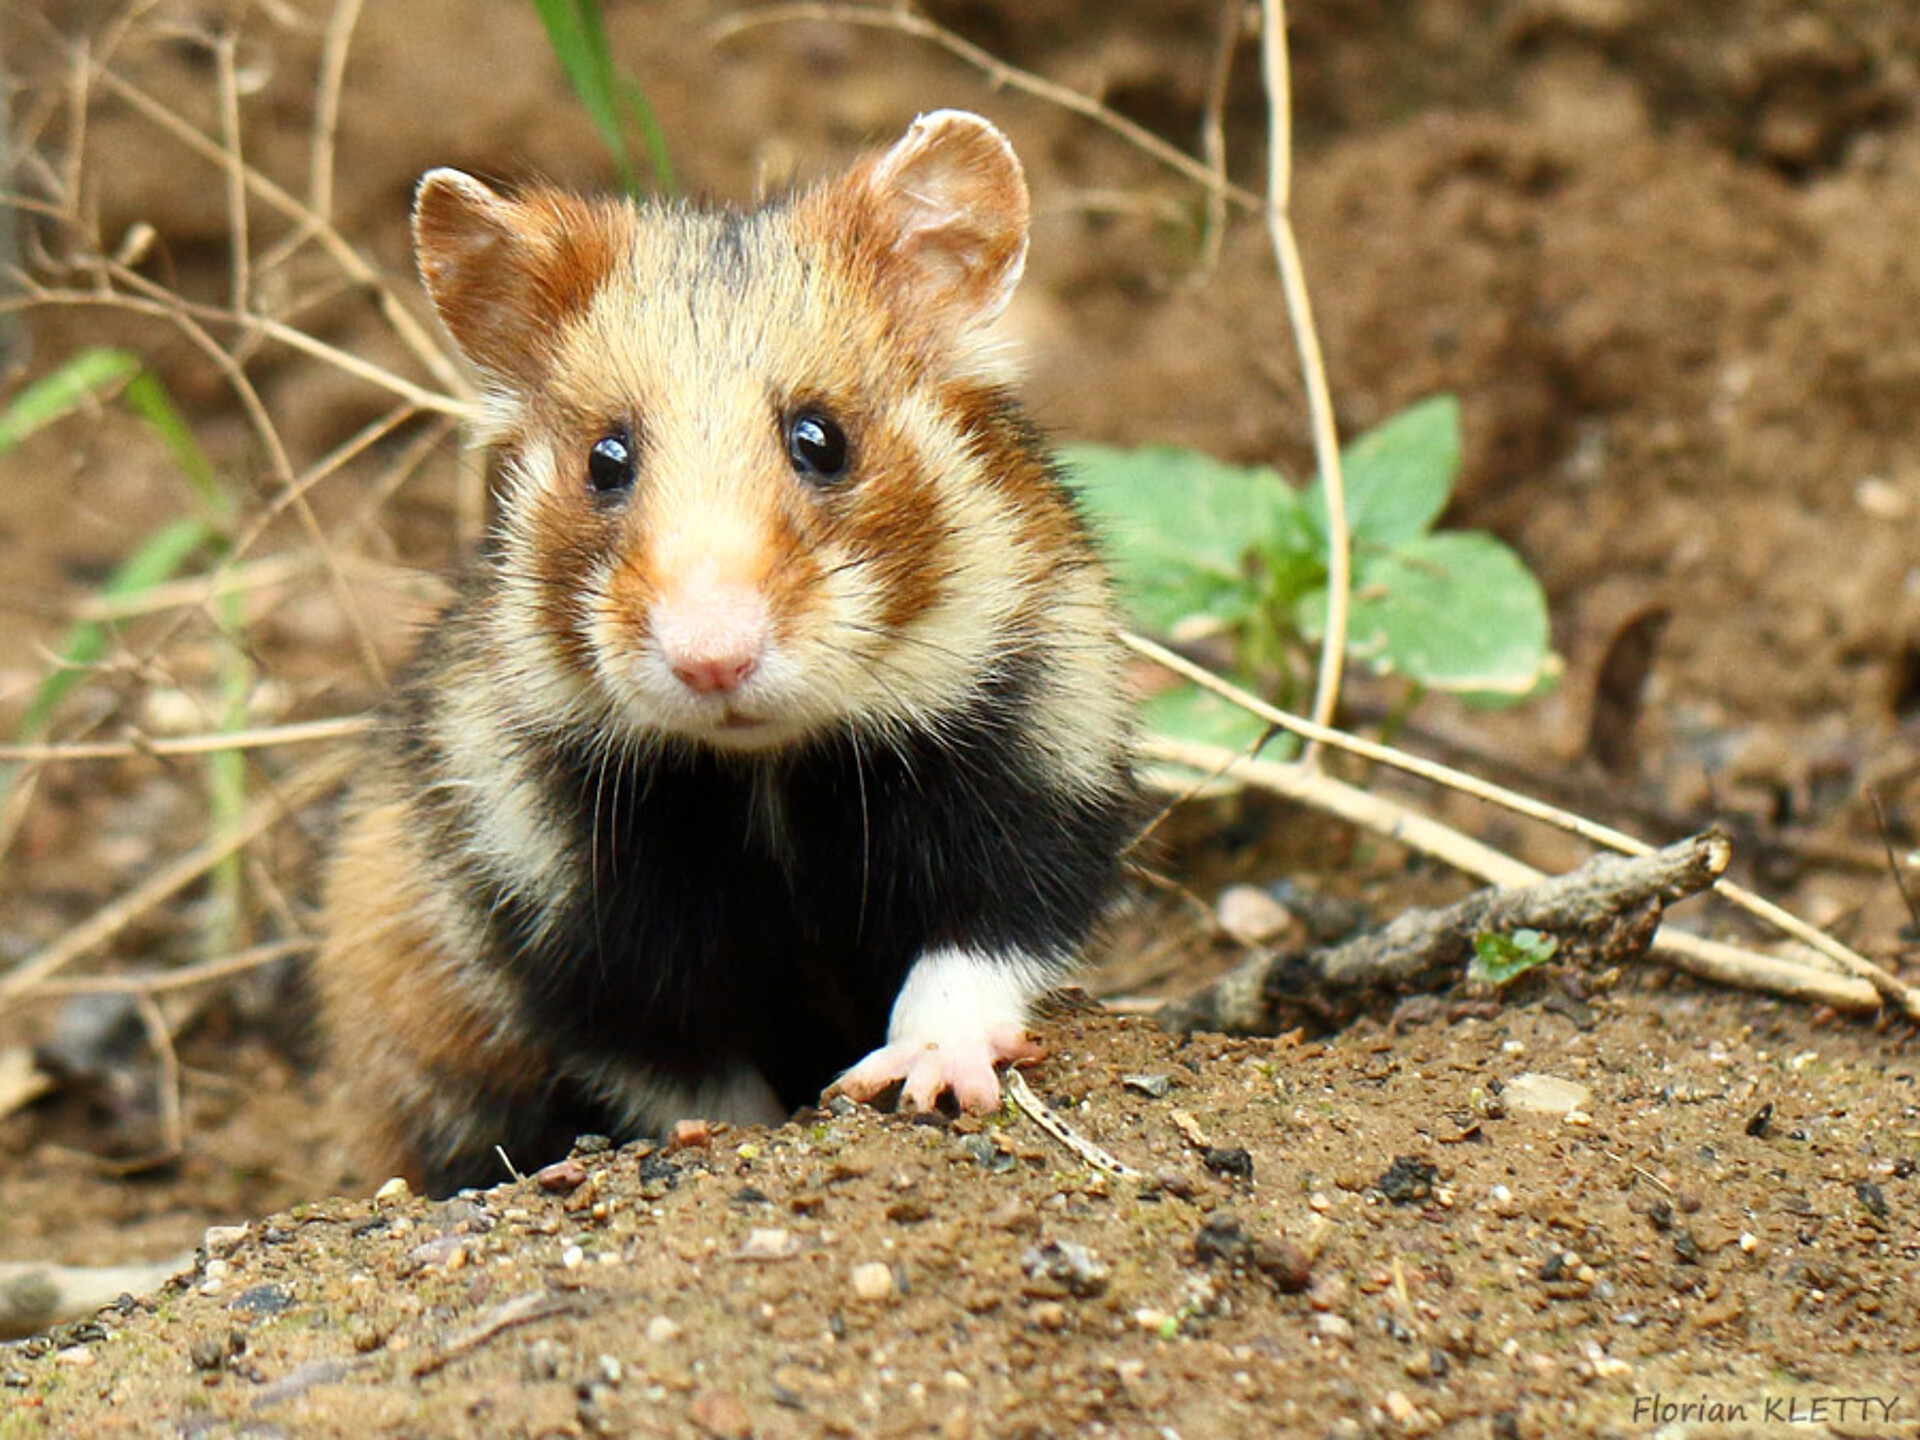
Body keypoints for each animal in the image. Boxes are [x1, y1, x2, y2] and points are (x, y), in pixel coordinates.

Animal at [314, 111, 1136, 1196]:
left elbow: (969, 957)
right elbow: (688, 1070)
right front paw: (745, 1137)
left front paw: (930, 1085)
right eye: (605, 460)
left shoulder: (1041, 774)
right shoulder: (565, 915)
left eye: (823, 438)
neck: (767, 770)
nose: (713, 663)